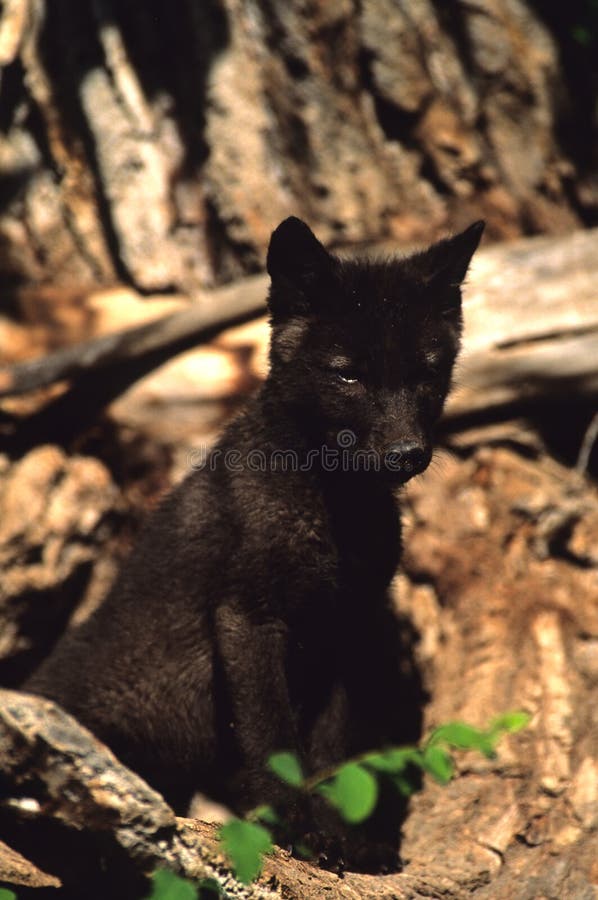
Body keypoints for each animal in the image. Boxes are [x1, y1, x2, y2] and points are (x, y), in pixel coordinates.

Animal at [26, 216, 484, 870]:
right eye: (347, 373)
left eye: (426, 373)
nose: (406, 454)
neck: (336, 513)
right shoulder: (249, 617)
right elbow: (274, 744)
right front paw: (297, 834)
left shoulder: (343, 631)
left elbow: (331, 759)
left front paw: (347, 844)